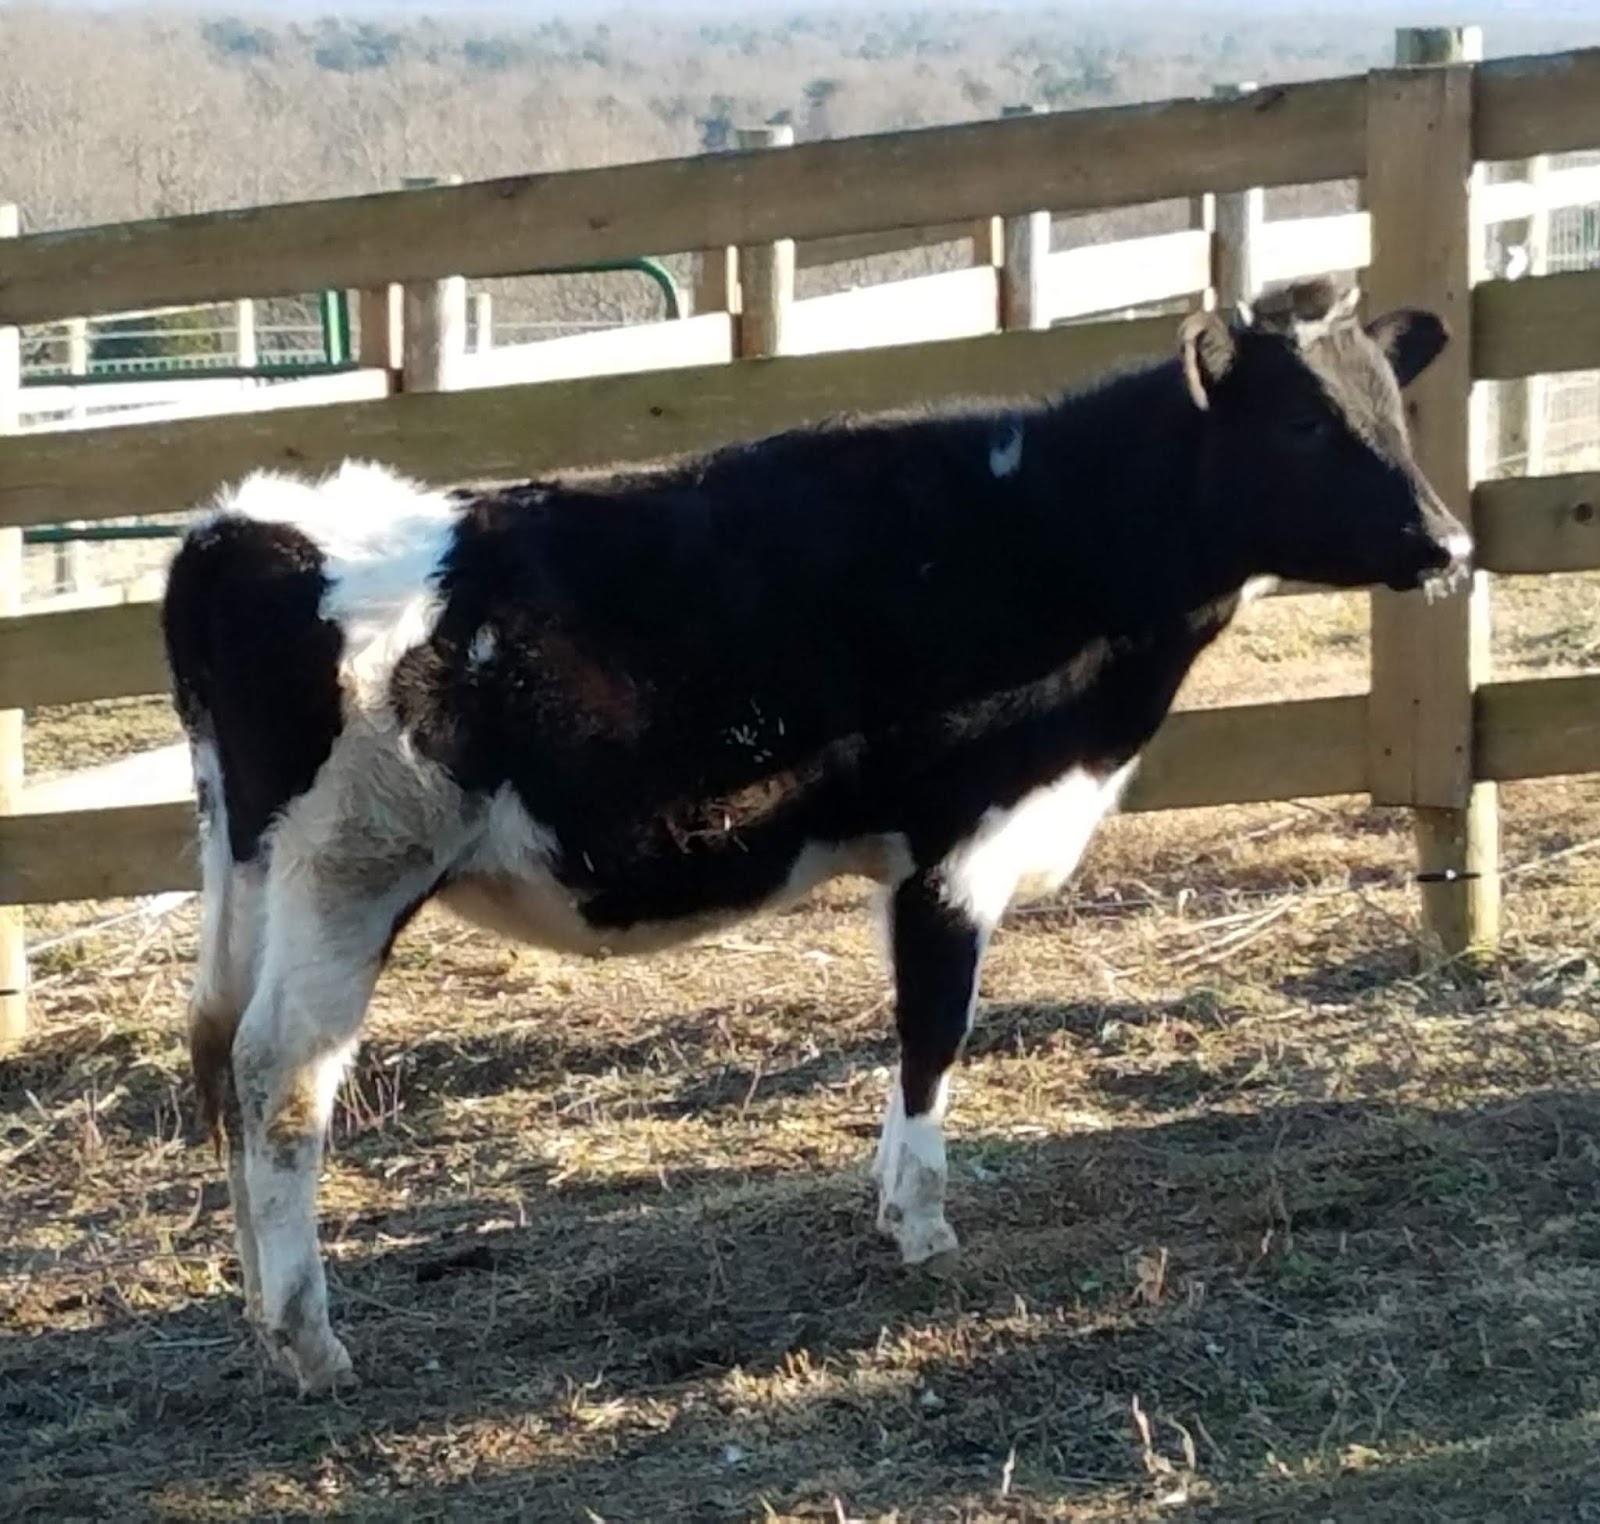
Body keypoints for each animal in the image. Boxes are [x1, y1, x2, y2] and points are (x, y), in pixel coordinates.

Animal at [160, 277, 1467, 1391]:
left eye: (1388, 406)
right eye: (1302, 425)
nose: (1448, 545)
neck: (1047, 530)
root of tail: (244, 531)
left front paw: (893, 1196)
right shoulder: (958, 839)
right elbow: (933, 1030)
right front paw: (921, 1224)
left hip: (250, 867)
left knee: (218, 1052)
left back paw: (258, 1315)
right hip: (351, 868)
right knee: (281, 1076)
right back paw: (311, 1339)